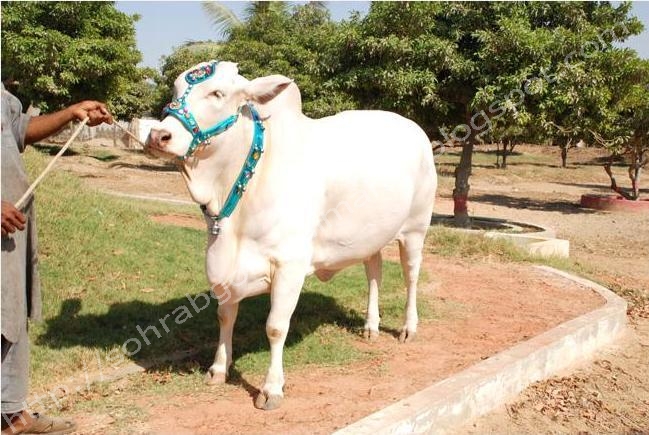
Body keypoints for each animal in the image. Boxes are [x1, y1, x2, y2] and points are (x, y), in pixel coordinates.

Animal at [146, 60, 437, 410]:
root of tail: (415, 129)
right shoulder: (223, 268)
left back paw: (408, 327)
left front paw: (271, 388)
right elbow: (225, 317)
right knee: (374, 273)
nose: (158, 135)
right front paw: (218, 368)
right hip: (371, 236)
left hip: (415, 230)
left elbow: (275, 327)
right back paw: (371, 326)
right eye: (175, 90)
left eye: (218, 93)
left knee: (411, 276)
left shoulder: (289, 266)